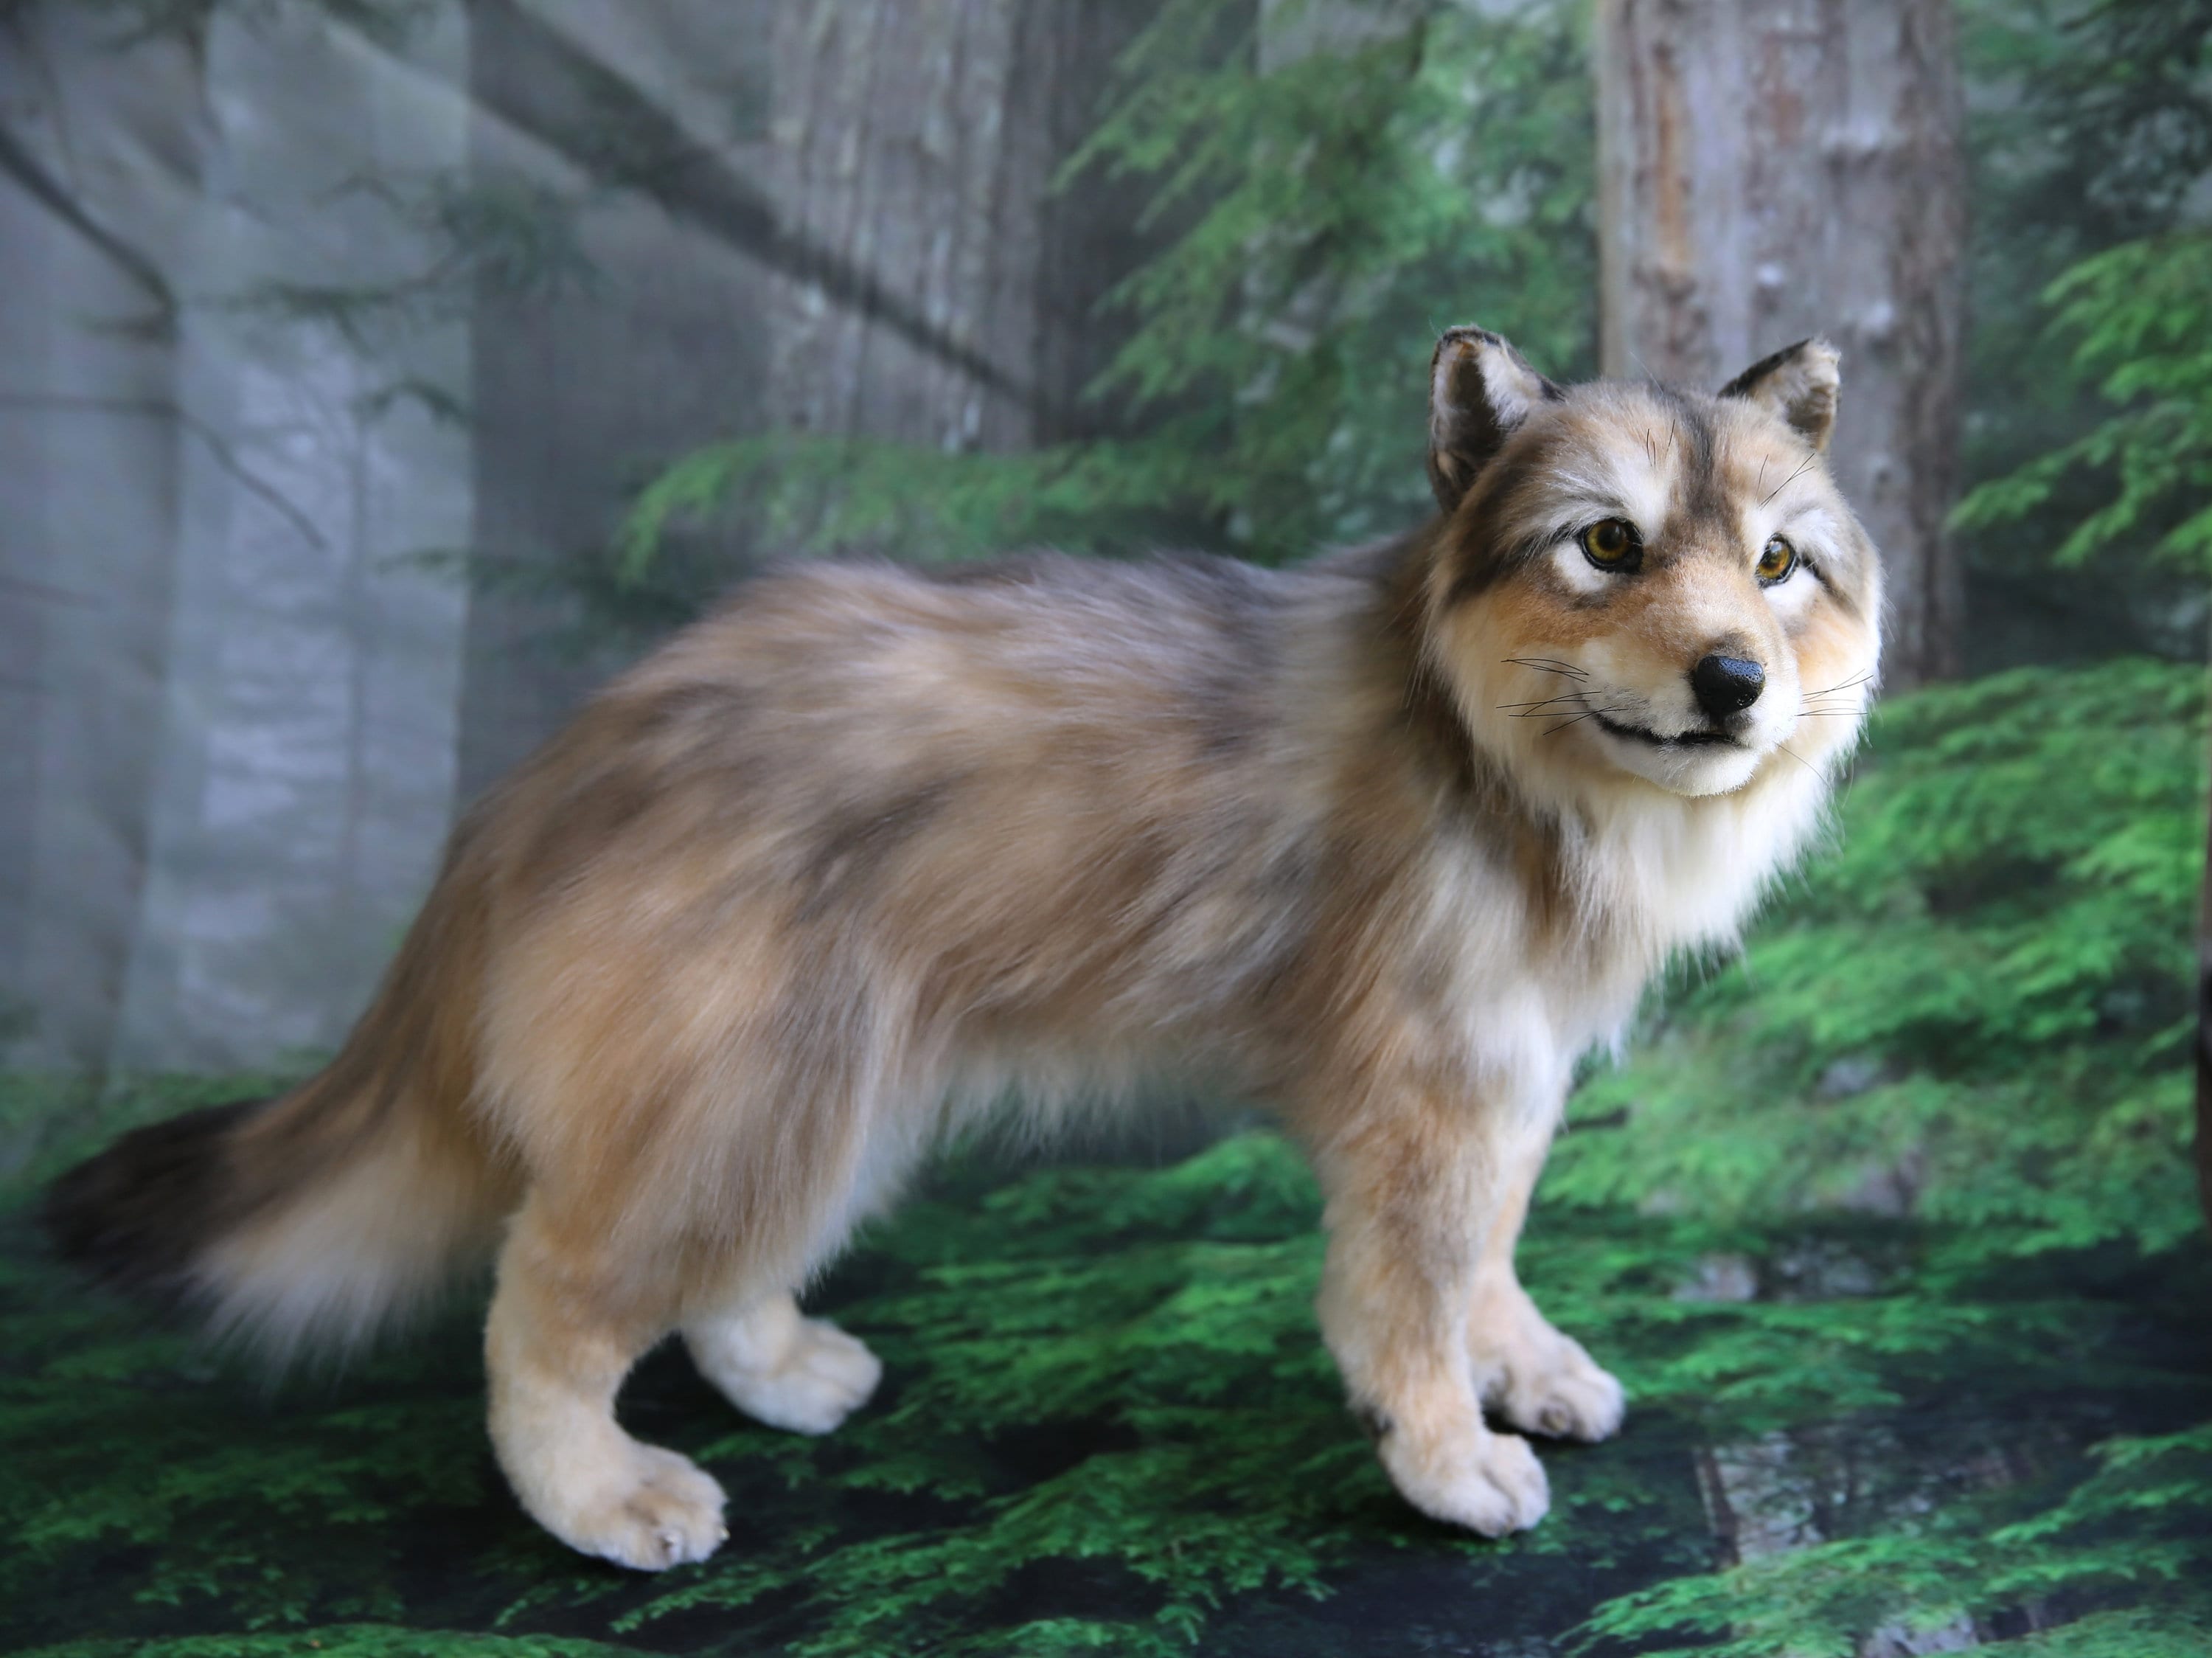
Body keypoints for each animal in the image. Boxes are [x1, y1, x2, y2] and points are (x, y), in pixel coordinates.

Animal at [47, 328, 1881, 1569]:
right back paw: (601, 1492)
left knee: (714, 1276)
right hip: (738, 1093)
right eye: (1607, 543)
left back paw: (783, 1371)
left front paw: (1529, 1369)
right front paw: (1445, 1455)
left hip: (820, 1090)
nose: (1734, 680)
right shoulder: (1422, 1106)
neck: (1486, 757)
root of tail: (552, 768)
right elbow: (1408, 1309)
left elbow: (1487, 1264)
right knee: (542, 1301)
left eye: (1779, 562)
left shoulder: (1505, 1092)